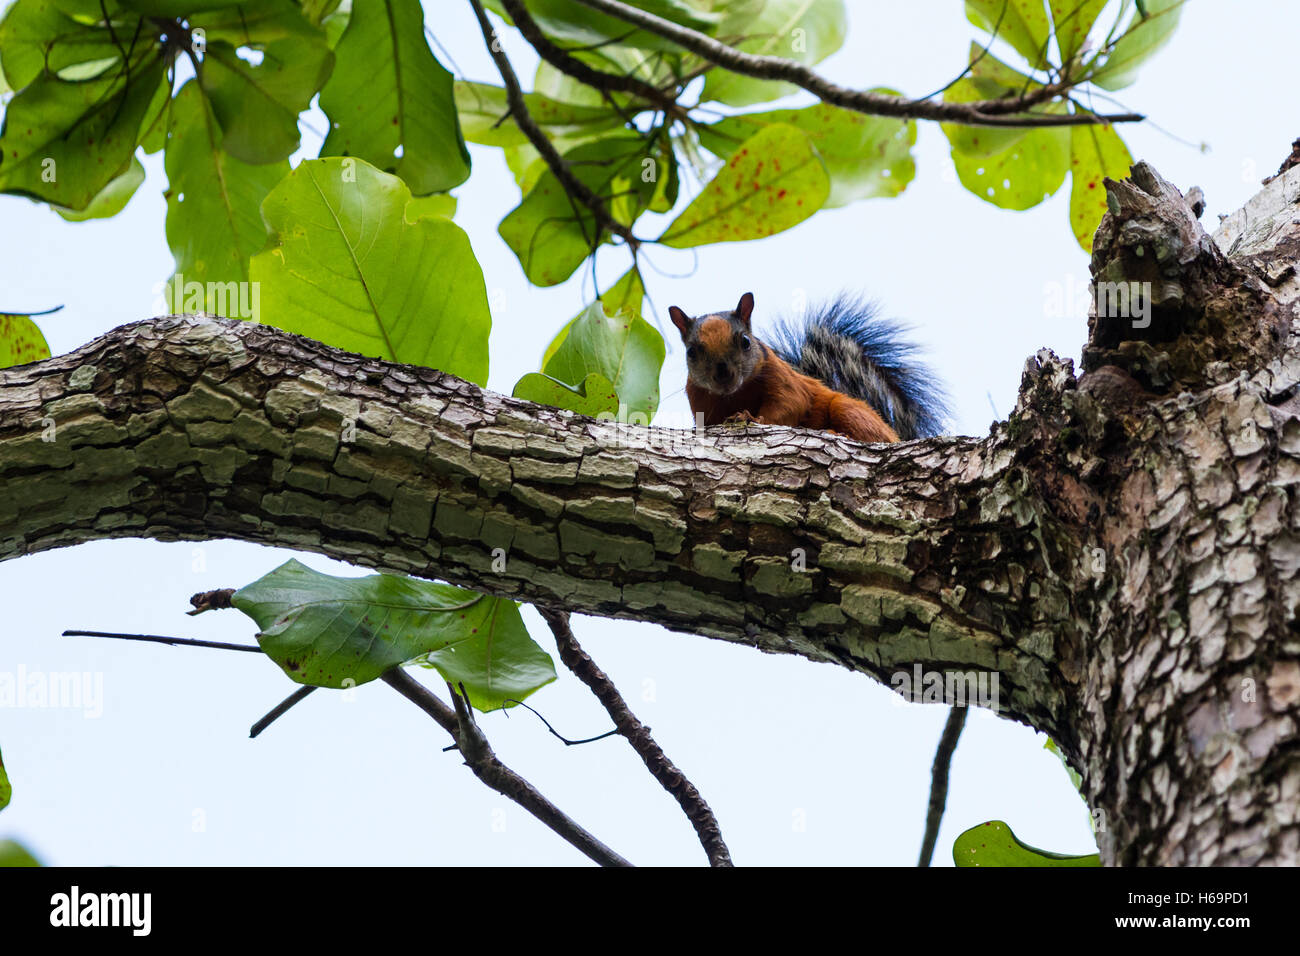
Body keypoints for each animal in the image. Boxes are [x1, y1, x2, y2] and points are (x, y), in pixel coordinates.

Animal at [668, 292, 948, 443]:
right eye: (691, 352)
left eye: (746, 342)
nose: (724, 377)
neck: (735, 395)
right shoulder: (700, 399)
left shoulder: (782, 378)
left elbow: (790, 403)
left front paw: (750, 417)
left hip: (850, 410)